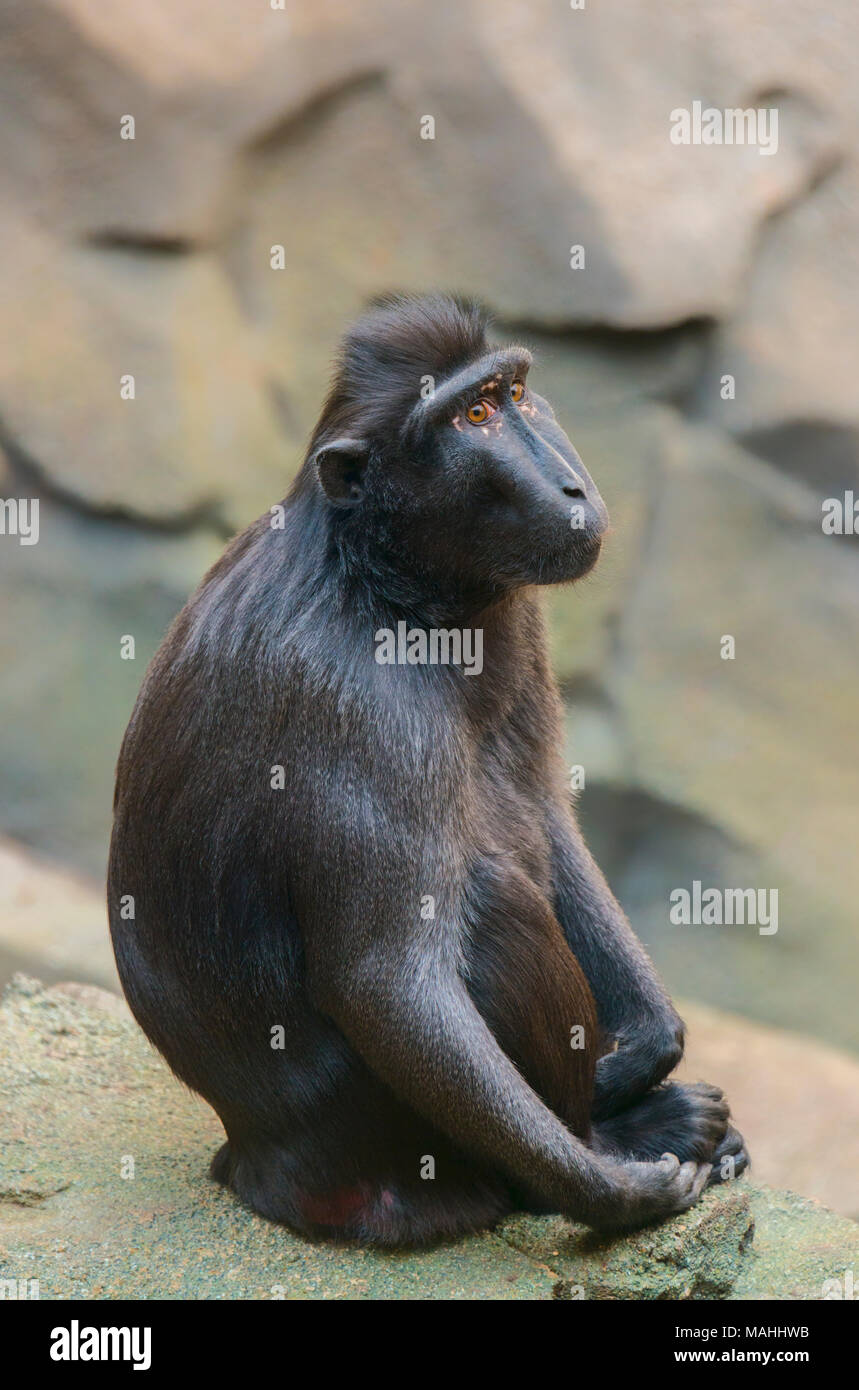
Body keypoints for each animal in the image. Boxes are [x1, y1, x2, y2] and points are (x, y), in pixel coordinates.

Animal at [108, 292, 748, 1249]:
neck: (390, 584)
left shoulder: (513, 615)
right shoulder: (353, 701)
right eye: (471, 419)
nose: (572, 487)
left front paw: (643, 1048)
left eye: (512, 393)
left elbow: (545, 813)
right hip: (401, 1163)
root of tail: (257, 1165)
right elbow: (387, 985)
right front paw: (610, 1189)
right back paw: (609, 1138)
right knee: (488, 910)